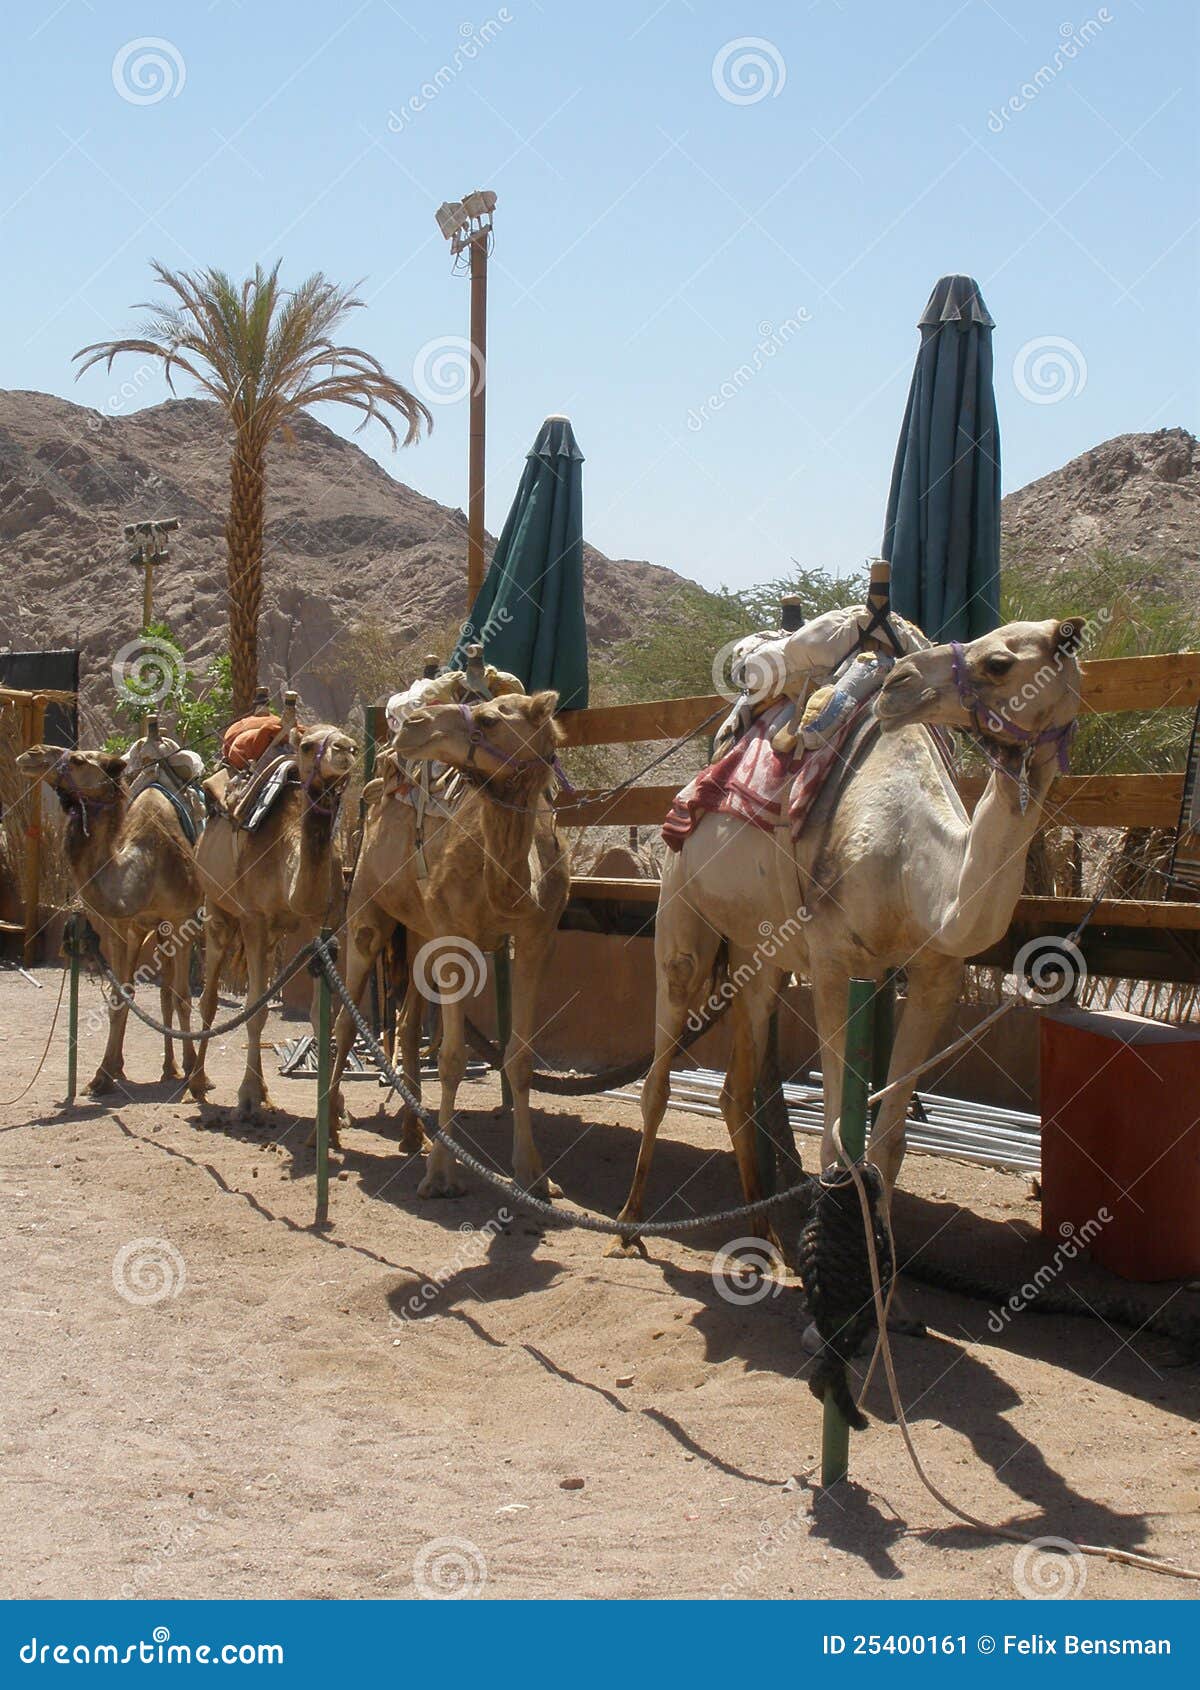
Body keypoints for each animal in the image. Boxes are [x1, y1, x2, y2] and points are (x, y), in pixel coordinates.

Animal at [16, 744, 202, 1092]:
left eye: (78, 760)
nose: (31, 754)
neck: (147, 868)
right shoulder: (121, 927)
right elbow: (120, 997)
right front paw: (102, 1074)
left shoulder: (181, 919)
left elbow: (184, 998)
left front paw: (197, 1079)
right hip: (149, 930)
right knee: (158, 992)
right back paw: (161, 1068)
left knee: (180, 991)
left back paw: (186, 1068)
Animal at [188, 723, 357, 1119]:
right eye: (309, 746)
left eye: (351, 742)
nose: (345, 749)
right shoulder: (255, 921)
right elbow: (256, 1011)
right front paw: (248, 1097)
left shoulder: (324, 924)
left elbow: (321, 1015)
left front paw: (335, 1104)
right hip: (217, 908)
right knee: (209, 998)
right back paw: (198, 1083)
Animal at [329, 688, 570, 1199]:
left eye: (491, 719)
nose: (413, 723)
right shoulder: (455, 936)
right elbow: (453, 1058)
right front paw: (441, 1174)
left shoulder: (536, 939)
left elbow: (519, 1059)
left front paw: (535, 1174)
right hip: (365, 907)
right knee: (344, 1017)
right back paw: (332, 1127)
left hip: (421, 933)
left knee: (405, 1025)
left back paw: (411, 1133)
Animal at [614, 617, 1084, 1246]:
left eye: (1000, 662)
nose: (902, 681)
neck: (912, 859)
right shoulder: (833, 961)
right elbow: (837, 1137)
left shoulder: (934, 976)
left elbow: (888, 1142)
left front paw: (879, 1263)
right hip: (680, 904)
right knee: (659, 1070)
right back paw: (630, 1222)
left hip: (758, 952)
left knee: (737, 1088)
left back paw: (764, 1233)